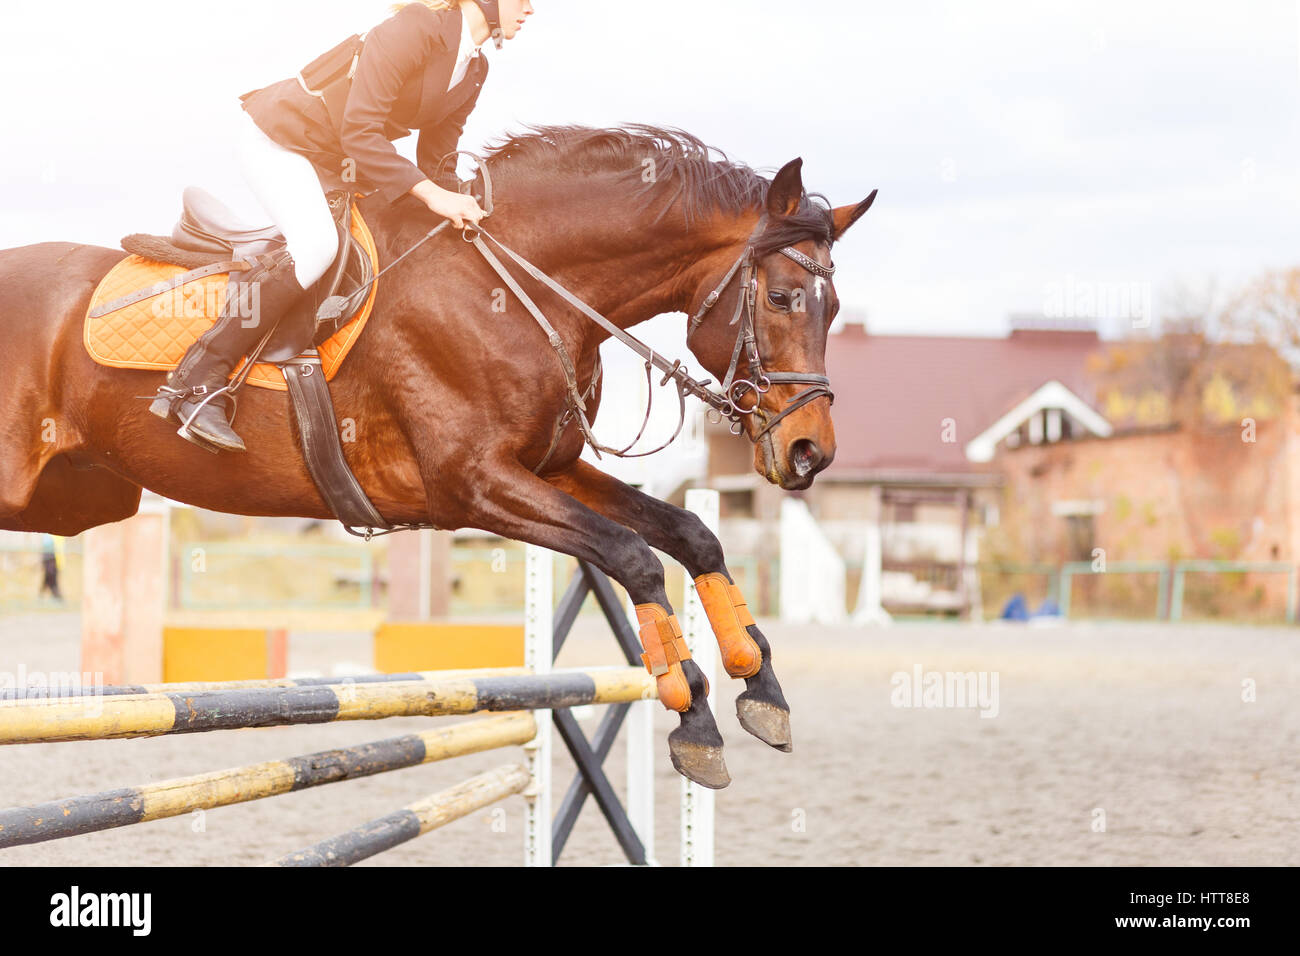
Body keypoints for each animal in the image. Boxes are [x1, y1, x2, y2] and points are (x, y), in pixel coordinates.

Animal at [0, 124, 876, 788]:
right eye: (782, 298)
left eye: (835, 305)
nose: (809, 452)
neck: (526, 287)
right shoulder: (475, 486)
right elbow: (633, 555)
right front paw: (695, 718)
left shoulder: (550, 469)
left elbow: (690, 535)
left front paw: (762, 686)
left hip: (79, 497)